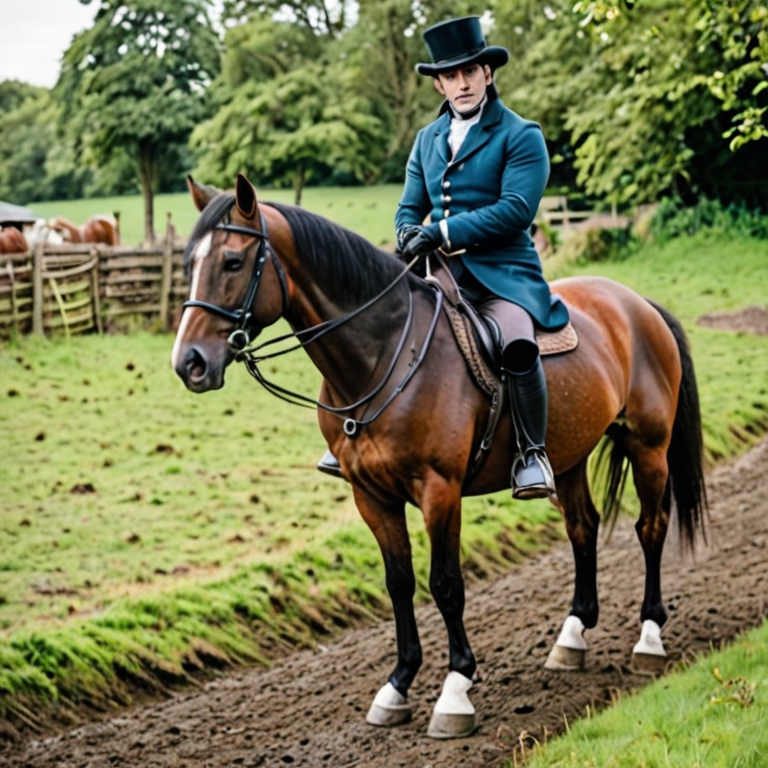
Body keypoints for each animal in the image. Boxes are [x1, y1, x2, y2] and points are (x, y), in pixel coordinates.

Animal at [172, 174, 707, 739]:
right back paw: (572, 636)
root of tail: (635, 302)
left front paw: (455, 692)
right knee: (582, 528)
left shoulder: (439, 491)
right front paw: (398, 685)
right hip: (567, 457)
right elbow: (399, 583)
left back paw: (649, 638)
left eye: (233, 262)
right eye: (189, 265)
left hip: (648, 447)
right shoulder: (372, 497)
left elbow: (445, 584)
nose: (189, 363)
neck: (384, 354)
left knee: (651, 527)